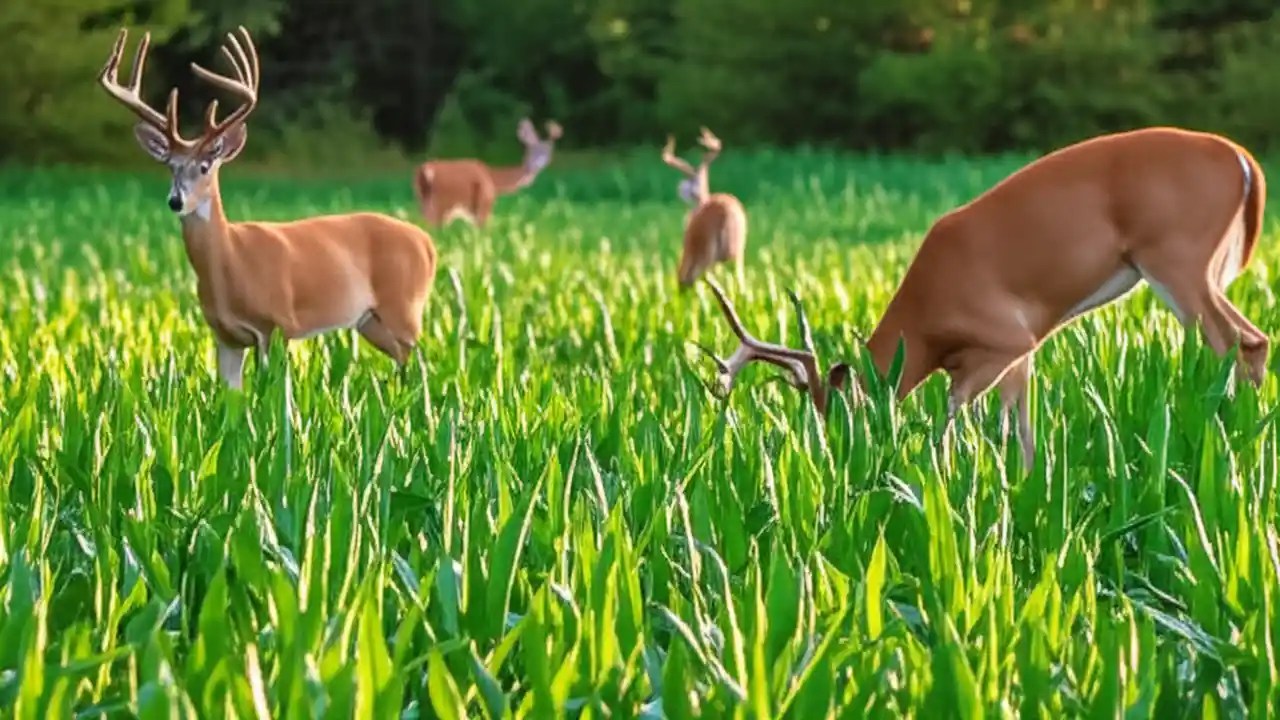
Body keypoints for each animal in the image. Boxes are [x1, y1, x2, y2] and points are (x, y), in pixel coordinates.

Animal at [99, 26, 439, 390]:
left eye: (205, 166)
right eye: (170, 166)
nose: (176, 200)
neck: (231, 260)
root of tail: (427, 243)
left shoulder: (277, 324)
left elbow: (271, 392)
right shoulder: (224, 335)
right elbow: (231, 395)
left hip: (404, 306)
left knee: (423, 360)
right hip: (369, 320)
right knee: (404, 361)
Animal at [413, 118, 562, 228]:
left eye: (548, 151)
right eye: (532, 149)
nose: (537, 163)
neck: (493, 179)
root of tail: (426, 170)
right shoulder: (485, 203)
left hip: (424, 200)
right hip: (442, 203)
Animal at [691, 126, 1271, 468]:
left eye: (841, 412)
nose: (836, 458)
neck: (928, 320)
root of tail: (1243, 158)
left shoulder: (1003, 340)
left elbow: (952, 418)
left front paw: (942, 477)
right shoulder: (1026, 347)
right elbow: (1023, 428)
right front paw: (1029, 485)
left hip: (1176, 259)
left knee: (1237, 343)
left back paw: (1232, 445)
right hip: (1200, 268)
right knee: (1254, 341)